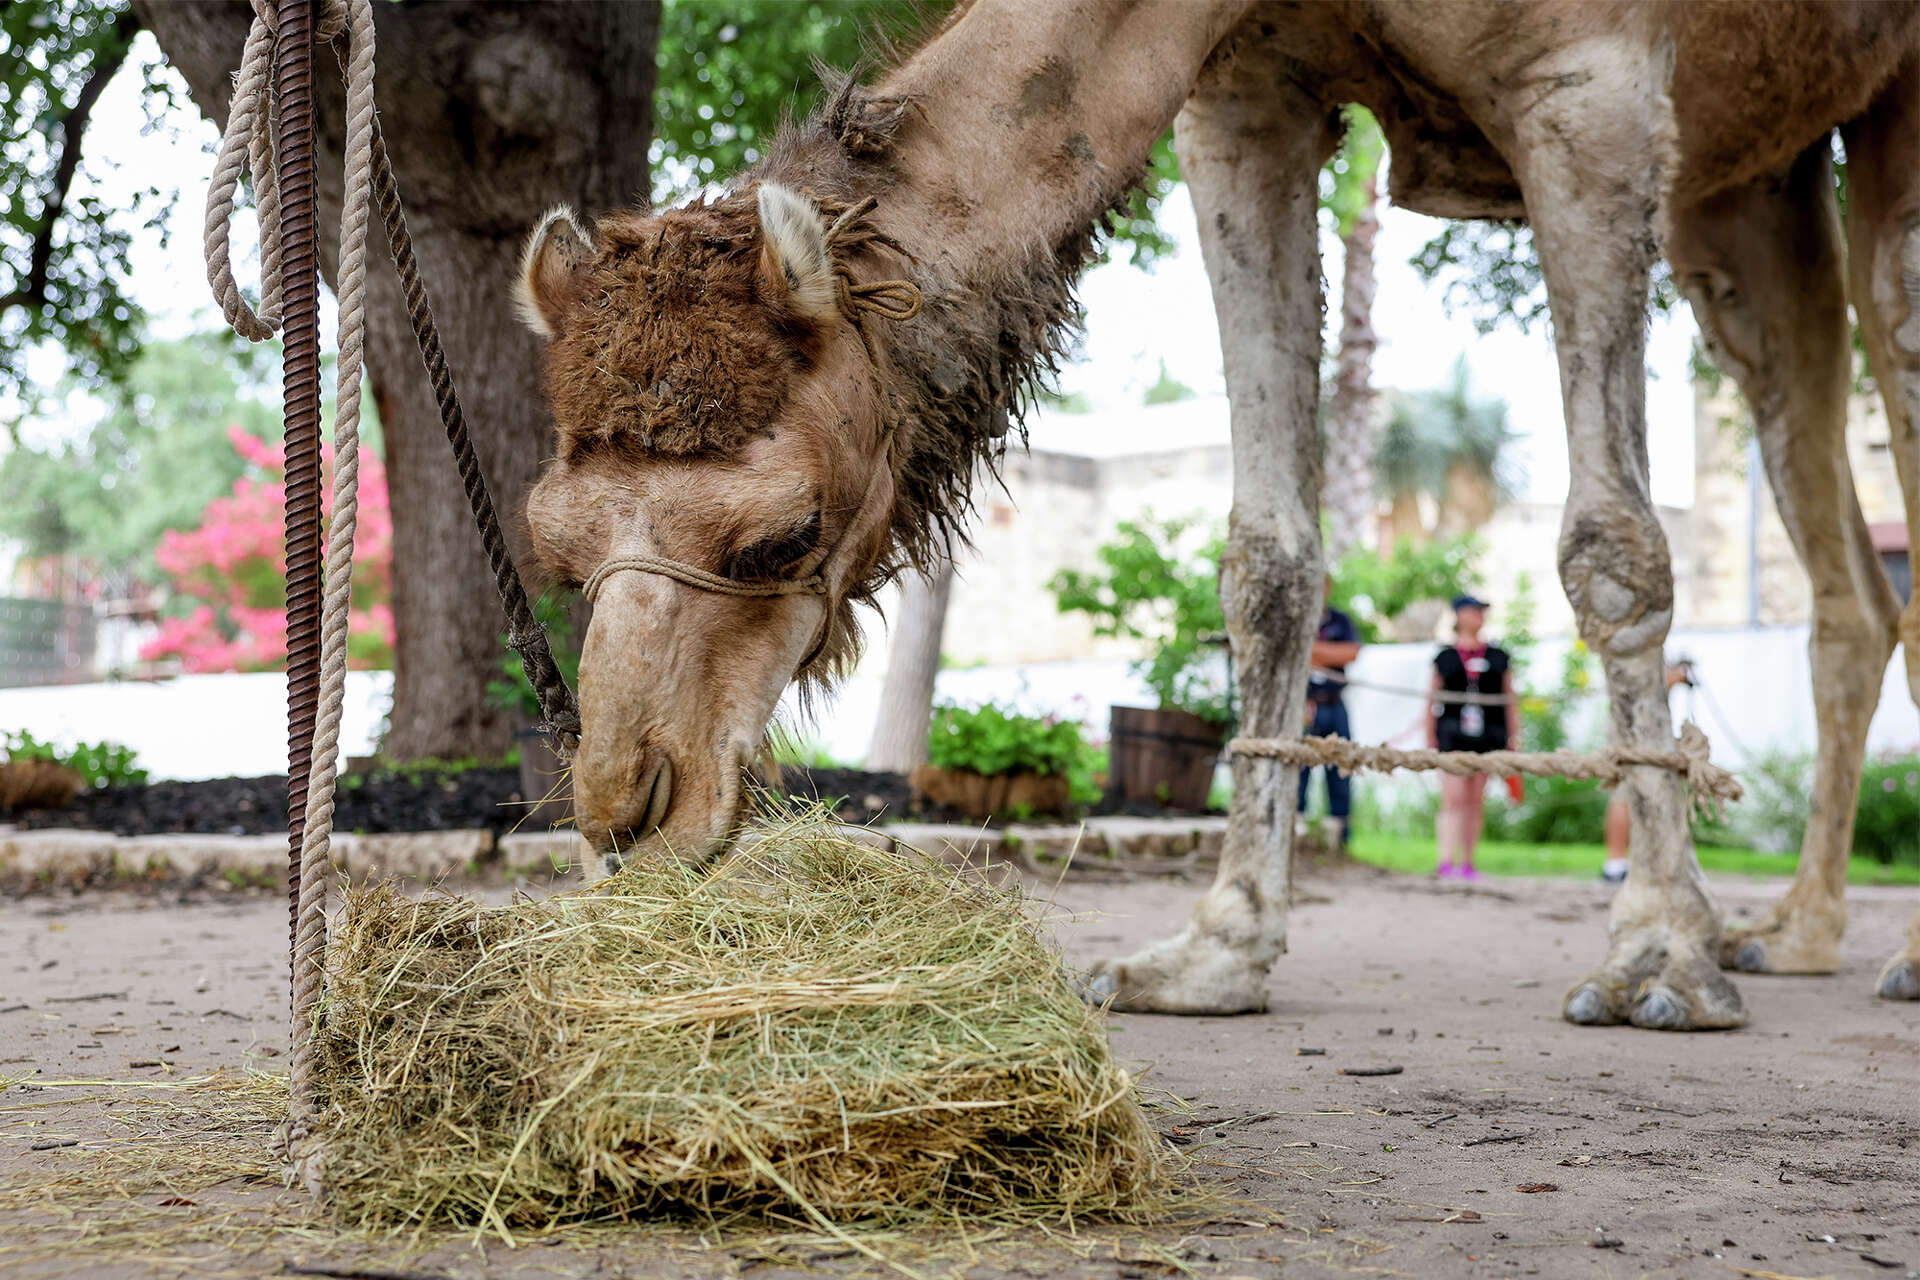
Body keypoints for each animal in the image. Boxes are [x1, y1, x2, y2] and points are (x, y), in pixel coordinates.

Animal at [513, 0, 1920, 1029]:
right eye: (553, 545)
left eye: (784, 534)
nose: (625, 810)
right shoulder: (1247, 95)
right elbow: (1263, 557)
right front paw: (1216, 950)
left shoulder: (1592, 81)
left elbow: (1612, 545)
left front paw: (1660, 957)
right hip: (1745, 191)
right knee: (1850, 568)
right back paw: (1797, 931)